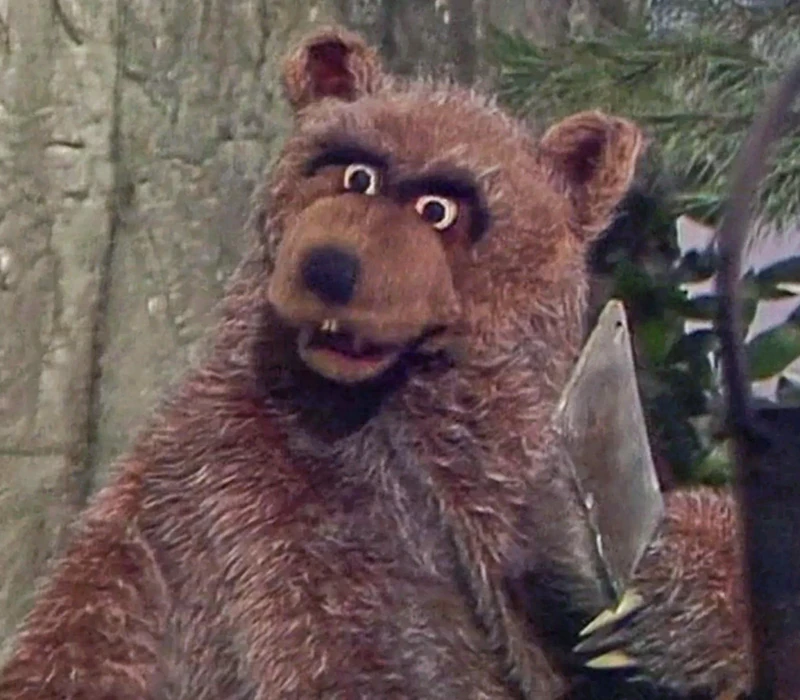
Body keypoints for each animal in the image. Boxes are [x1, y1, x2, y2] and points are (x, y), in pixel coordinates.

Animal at [0, 23, 748, 700]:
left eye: (439, 207)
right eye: (357, 173)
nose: (331, 266)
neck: (381, 411)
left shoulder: (505, 465)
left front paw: (663, 593)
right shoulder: (219, 505)